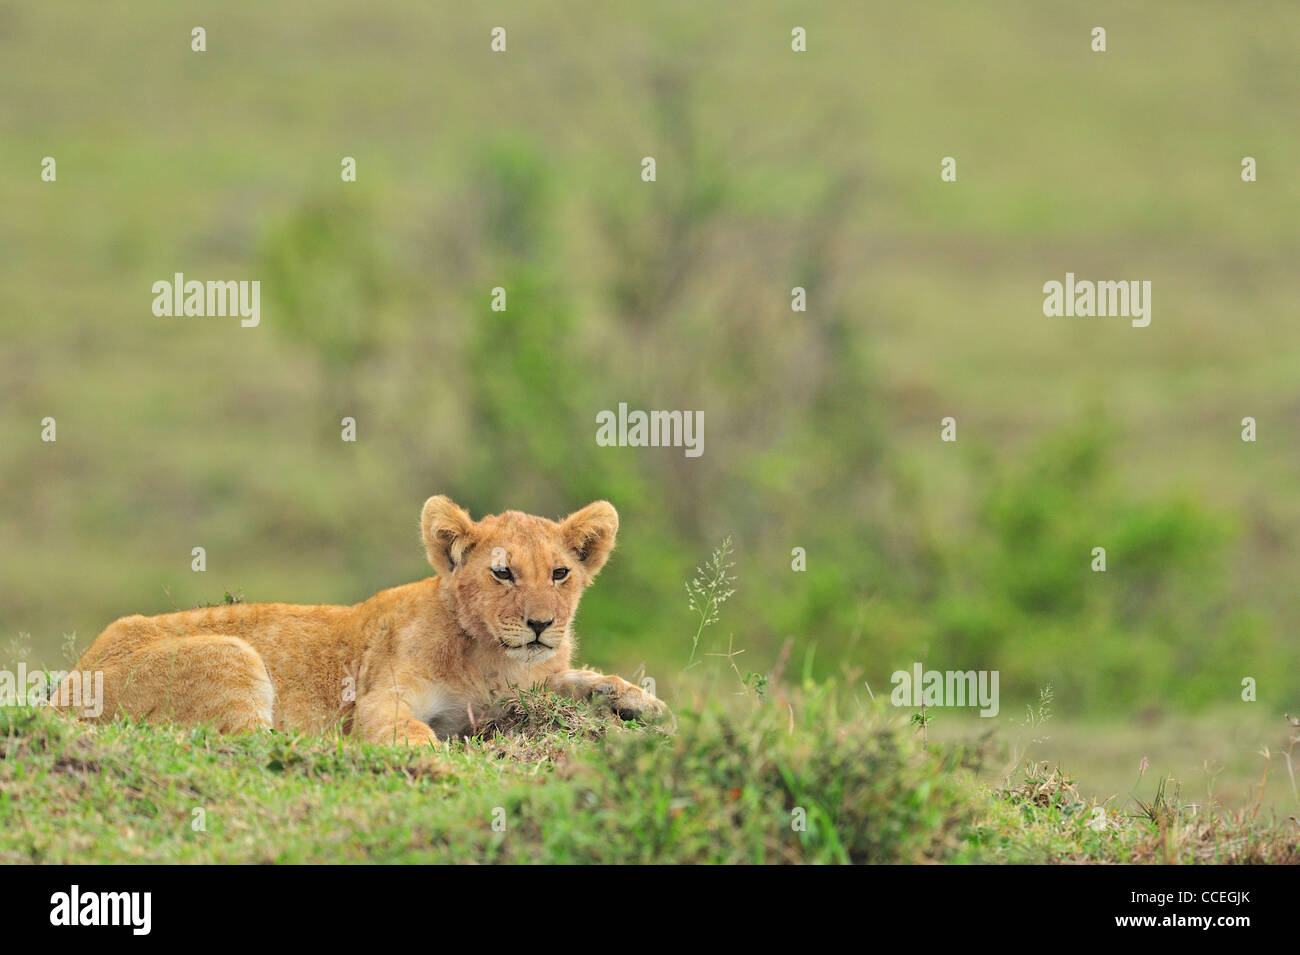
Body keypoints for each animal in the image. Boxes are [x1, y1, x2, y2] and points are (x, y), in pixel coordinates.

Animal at [54, 496, 666, 744]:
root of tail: (65, 685)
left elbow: (580, 681)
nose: (541, 625)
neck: (493, 657)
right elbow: (409, 730)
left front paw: (639, 701)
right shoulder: (381, 698)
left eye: (560, 574)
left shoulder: (527, 685)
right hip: (230, 652)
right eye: (503, 574)